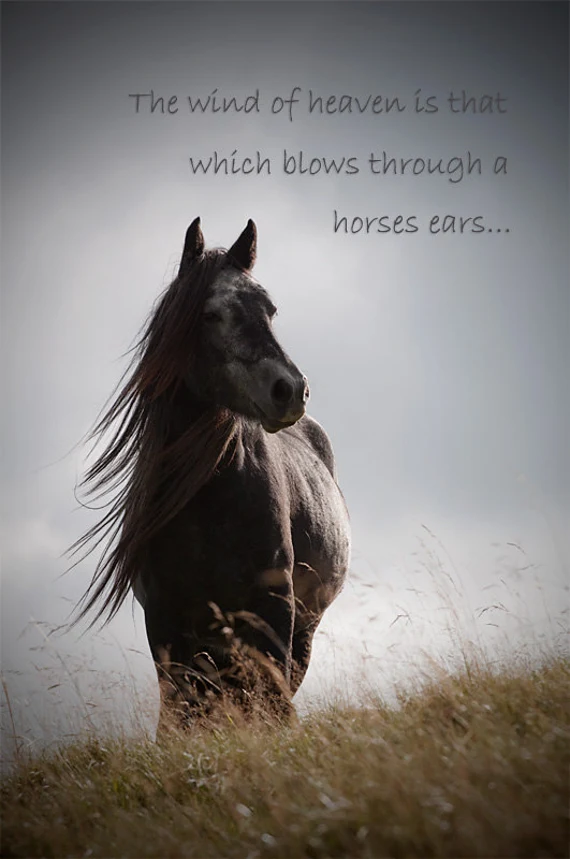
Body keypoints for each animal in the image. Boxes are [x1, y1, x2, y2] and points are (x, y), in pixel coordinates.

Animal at [73, 218, 351, 726]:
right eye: (210, 315)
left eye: (270, 310)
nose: (289, 390)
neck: (206, 507)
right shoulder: (165, 620)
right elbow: (178, 714)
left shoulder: (272, 611)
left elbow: (274, 703)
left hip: (301, 627)